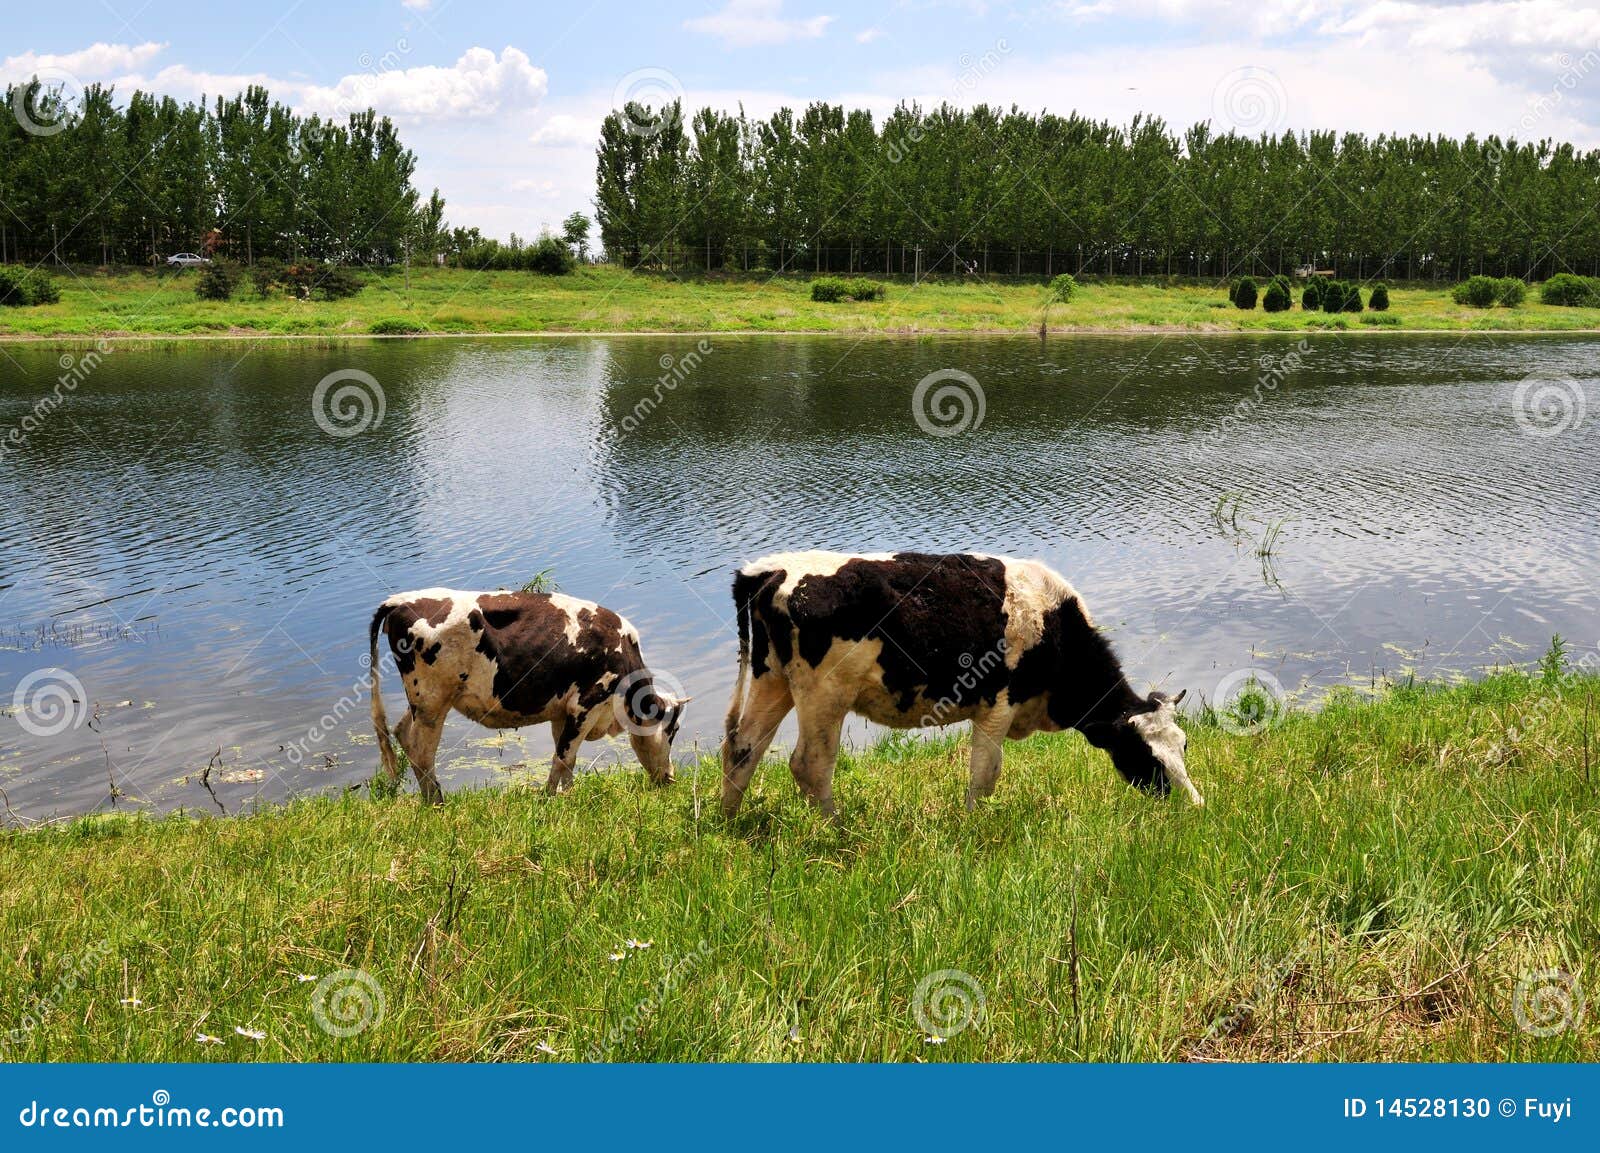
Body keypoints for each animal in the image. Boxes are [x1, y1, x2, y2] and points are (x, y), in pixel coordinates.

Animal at [368, 588, 687, 803]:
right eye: (673, 731)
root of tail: (399, 600)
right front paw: (550, 799)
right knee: (422, 749)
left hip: (421, 702)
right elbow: (562, 758)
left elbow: (567, 759)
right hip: (432, 702)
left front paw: (567, 796)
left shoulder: (563, 712)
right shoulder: (585, 706)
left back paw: (428, 801)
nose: (670, 778)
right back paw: (437, 803)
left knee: (403, 734)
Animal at [719, 551, 1201, 817]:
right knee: (810, 764)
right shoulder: (999, 704)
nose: (1194, 805)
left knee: (742, 749)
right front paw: (974, 828)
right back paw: (835, 832)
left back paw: (730, 827)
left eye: (1183, 745)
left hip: (772, 678)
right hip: (824, 694)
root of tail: (769, 569)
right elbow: (985, 774)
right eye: (1146, 754)